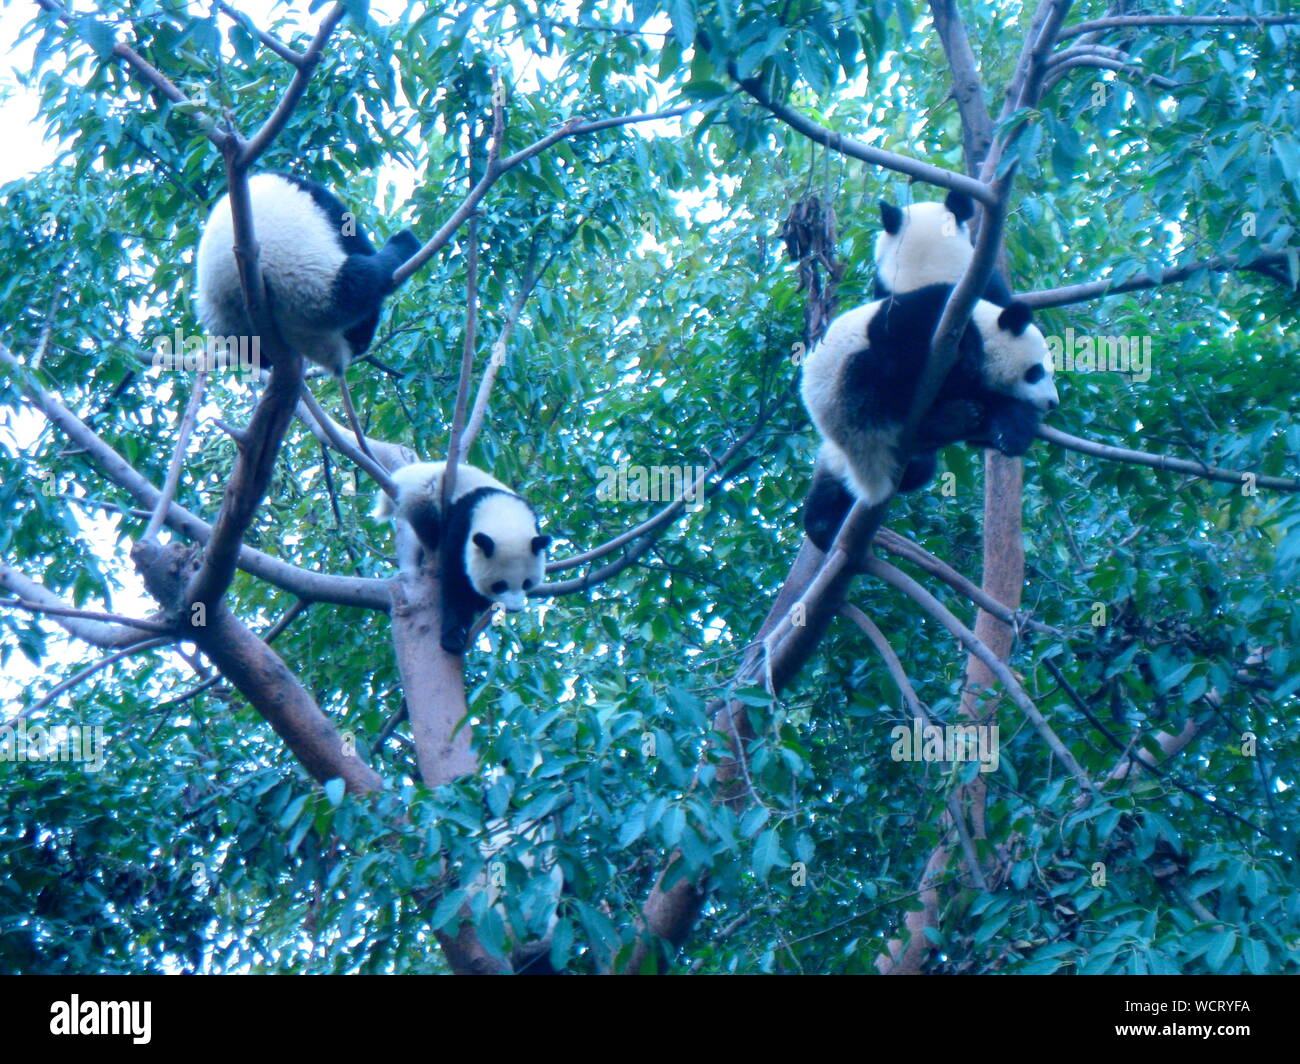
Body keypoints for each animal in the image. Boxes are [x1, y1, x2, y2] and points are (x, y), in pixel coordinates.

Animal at [196, 172, 420, 373]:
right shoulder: (320, 201)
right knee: (365, 277)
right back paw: (403, 246)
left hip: (223, 319)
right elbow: (350, 233)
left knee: (256, 355)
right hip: (310, 281)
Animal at [376, 460, 551, 653]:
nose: (514, 608)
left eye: (526, 583)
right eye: (499, 585)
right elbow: (456, 584)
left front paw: (480, 602)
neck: (502, 513)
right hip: (422, 493)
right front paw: (454, 636)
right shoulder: (460, 526)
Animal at [801, 284, 1058, 550]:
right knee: (882, 372)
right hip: (845, 390)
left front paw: (1011, 433)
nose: (1052, 403)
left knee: (914, 471)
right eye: (1036, 372)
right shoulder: (931, 312)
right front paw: (969, 354)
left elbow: (994, 418)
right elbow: (909, 324)